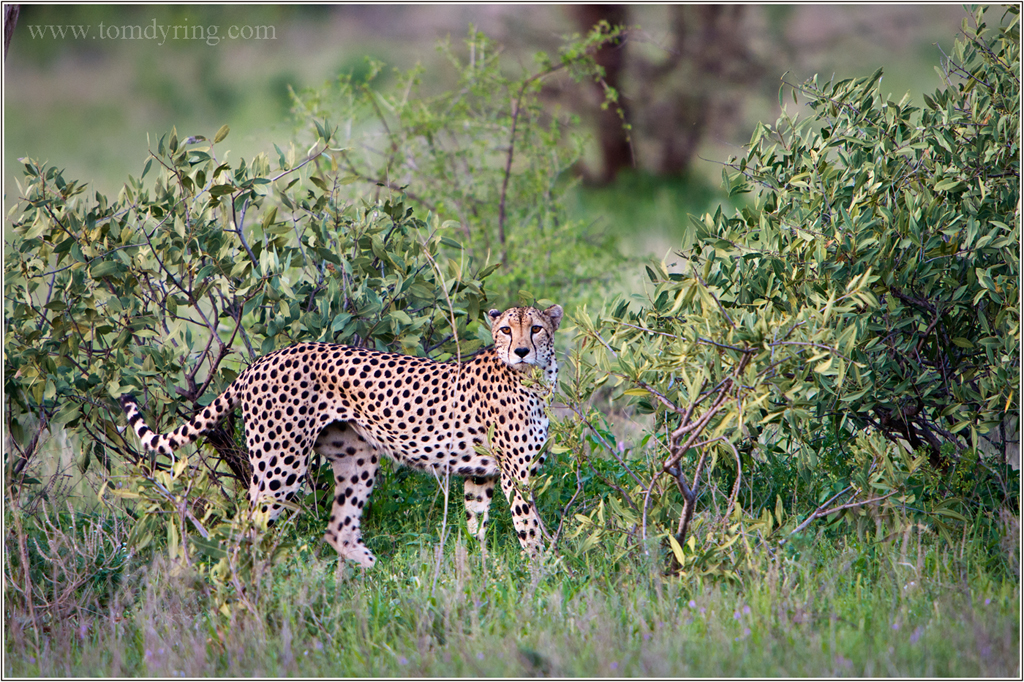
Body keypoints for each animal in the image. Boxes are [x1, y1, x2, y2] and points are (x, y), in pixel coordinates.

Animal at [119, 304, 563, 567]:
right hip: (281, 466)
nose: (521, 350)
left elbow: (476, 523)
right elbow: (530, 527)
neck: (534, 379)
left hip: (357, 457)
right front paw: (546, 571)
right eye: (505, 329)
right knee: (247, 528)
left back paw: (378, 576)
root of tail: (262, 359)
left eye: (537, 328)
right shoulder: (515, 476)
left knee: (338, 528)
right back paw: (253, 578)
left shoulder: (480, 475)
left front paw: (479, 565)